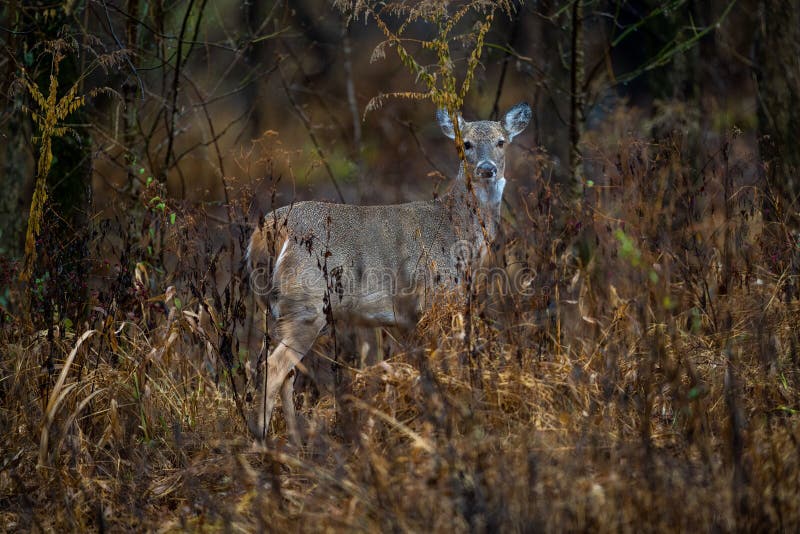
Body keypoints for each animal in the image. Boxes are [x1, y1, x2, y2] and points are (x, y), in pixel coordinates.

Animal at [246, 103, 531, 442]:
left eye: (501, 141)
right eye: (466, 144)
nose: (487, 169)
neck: (458, 232)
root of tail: (268, 231)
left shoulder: (401, 319)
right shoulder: (433, 301)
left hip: (276, 310)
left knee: (285, 372)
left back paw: (296, 441)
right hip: (306, 303)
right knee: (274, 368)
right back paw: (262, 442)